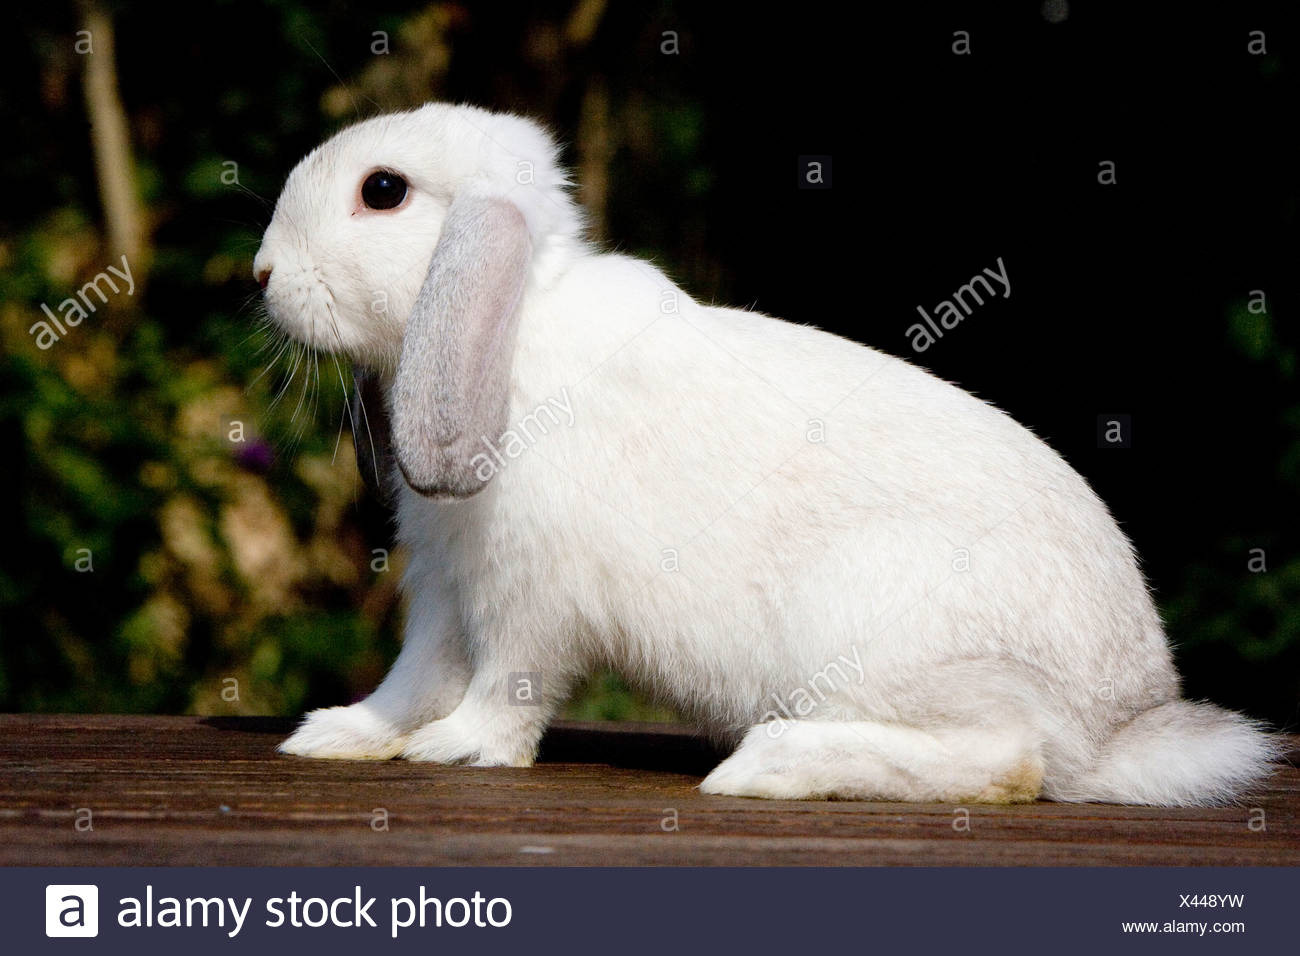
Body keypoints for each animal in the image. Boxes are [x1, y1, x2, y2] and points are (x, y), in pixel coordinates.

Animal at [253, 102, 1280, 805]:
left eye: (383, 191)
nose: (261, 273)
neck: (517, 332)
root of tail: (1118, 726)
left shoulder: (530, 595)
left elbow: (509, 683)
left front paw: (460, 749)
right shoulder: (442, 583)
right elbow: (414, 676)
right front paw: (341, 734)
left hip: (875, 627)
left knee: (1011, 762)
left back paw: (769, 765)